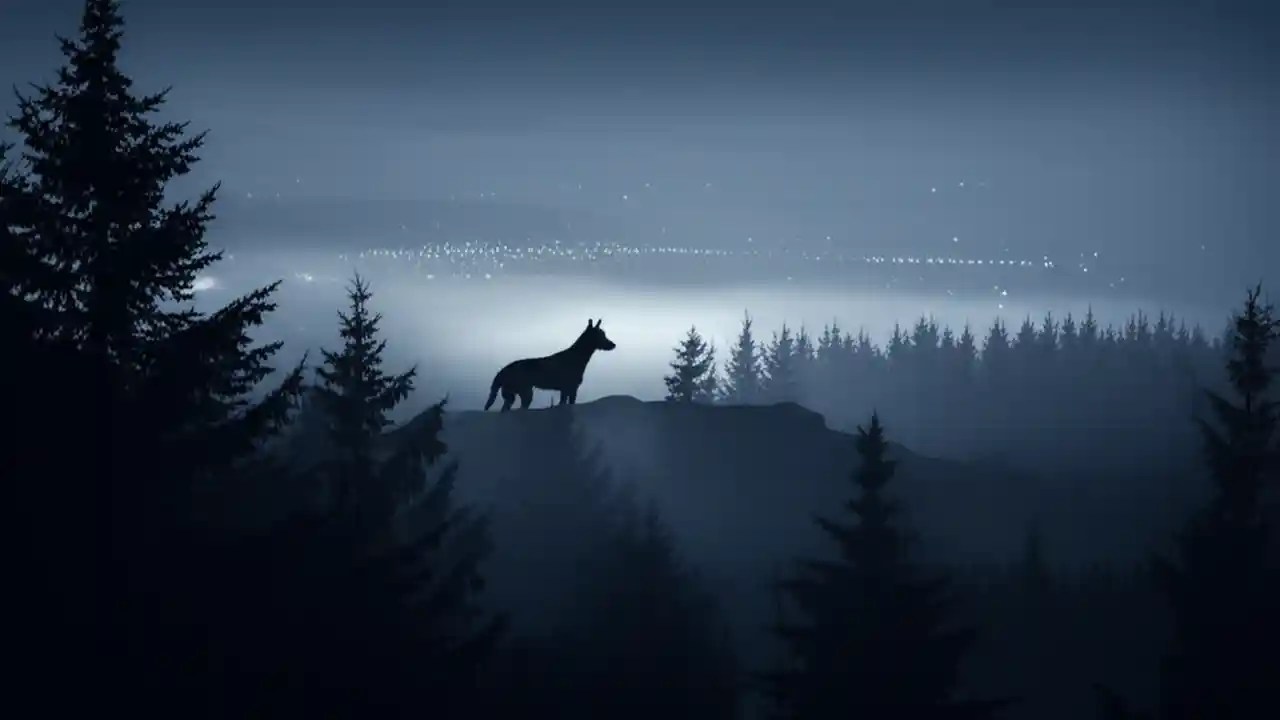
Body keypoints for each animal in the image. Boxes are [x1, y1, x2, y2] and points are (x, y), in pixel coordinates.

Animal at [484, 318, 616, 411]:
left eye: (604, 334)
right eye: (601, 335)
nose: (613, 344)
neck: (577, 356)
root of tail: (502, 371)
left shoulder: (568, 390)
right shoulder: (569, 388)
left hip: (511, 394)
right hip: (525, 392)